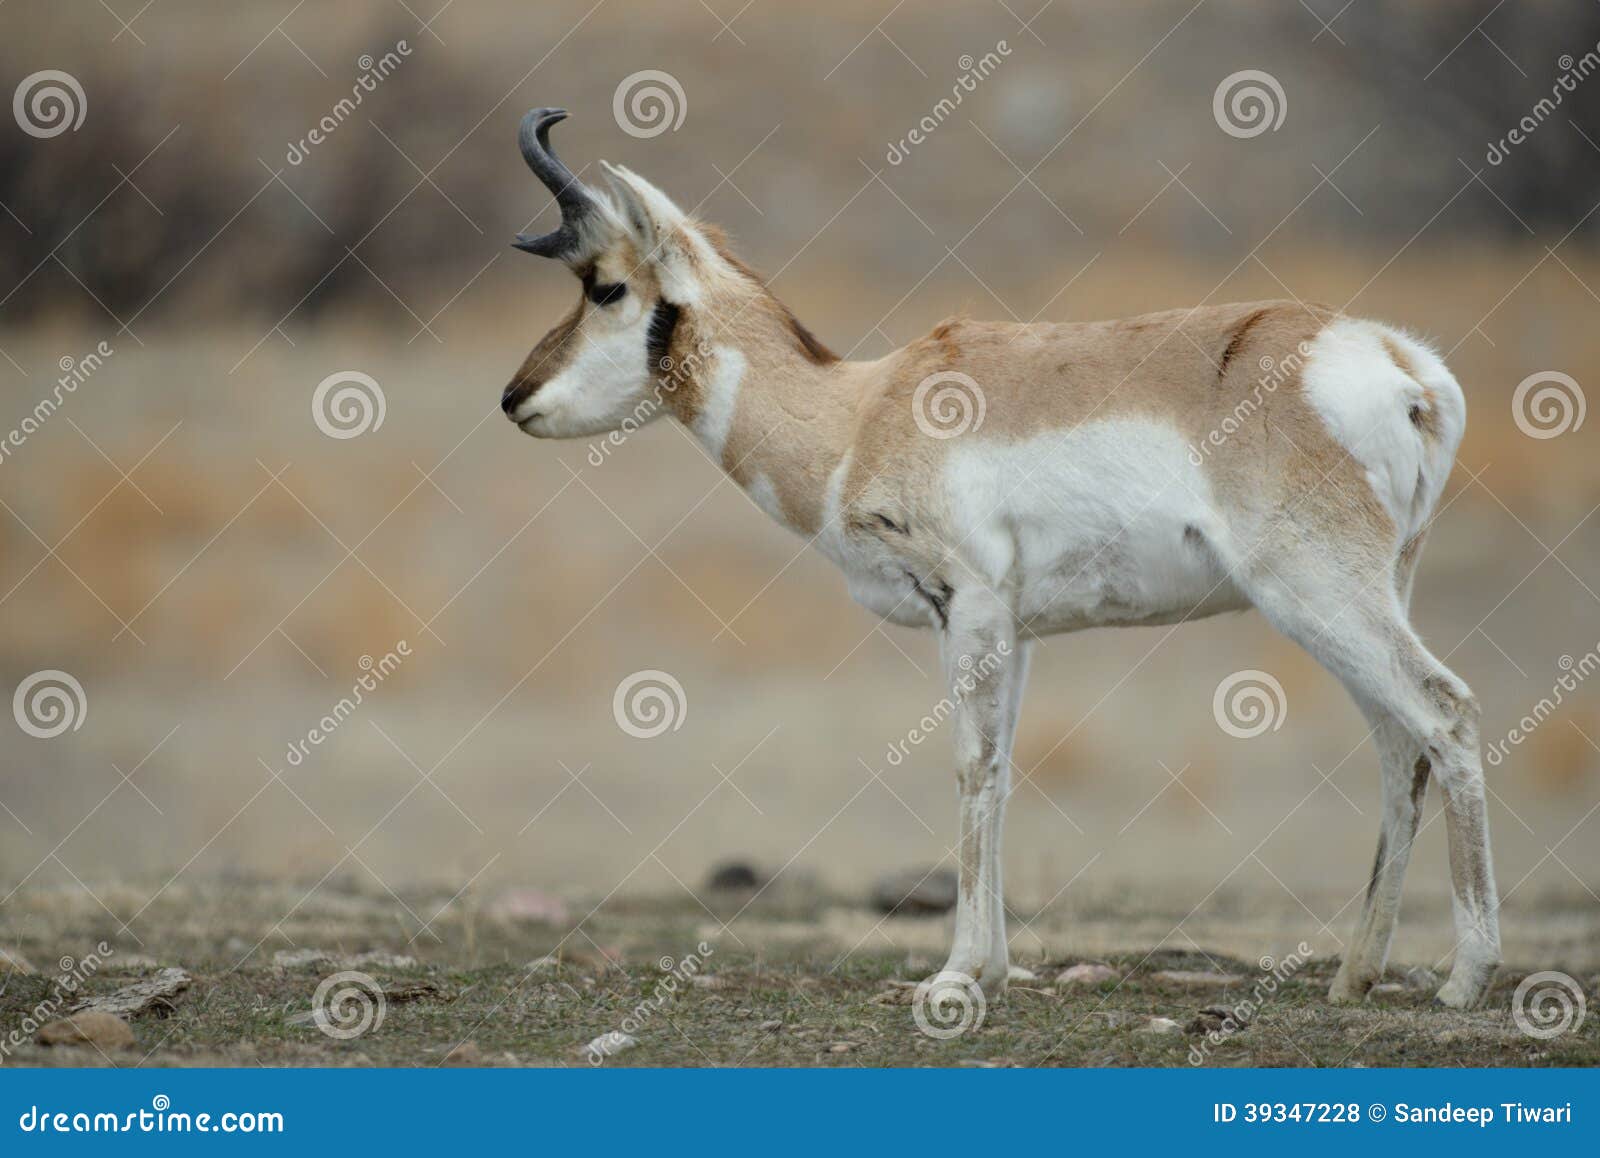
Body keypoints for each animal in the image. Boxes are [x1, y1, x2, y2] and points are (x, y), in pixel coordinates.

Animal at [500, 107, 1500, 1009]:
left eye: (605, 287)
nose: (514, 397)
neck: (858, 414)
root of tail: (1399, 361)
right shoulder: (1015, 632)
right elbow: (1008, 775)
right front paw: (993, 970)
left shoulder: (971, 610)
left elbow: (971, 770)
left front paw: (952, 976)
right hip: (1362, 596)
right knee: (1398, 746)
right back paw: (1354, 976)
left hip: (1319, 595)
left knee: (1446, 712)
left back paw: (1464, 981)